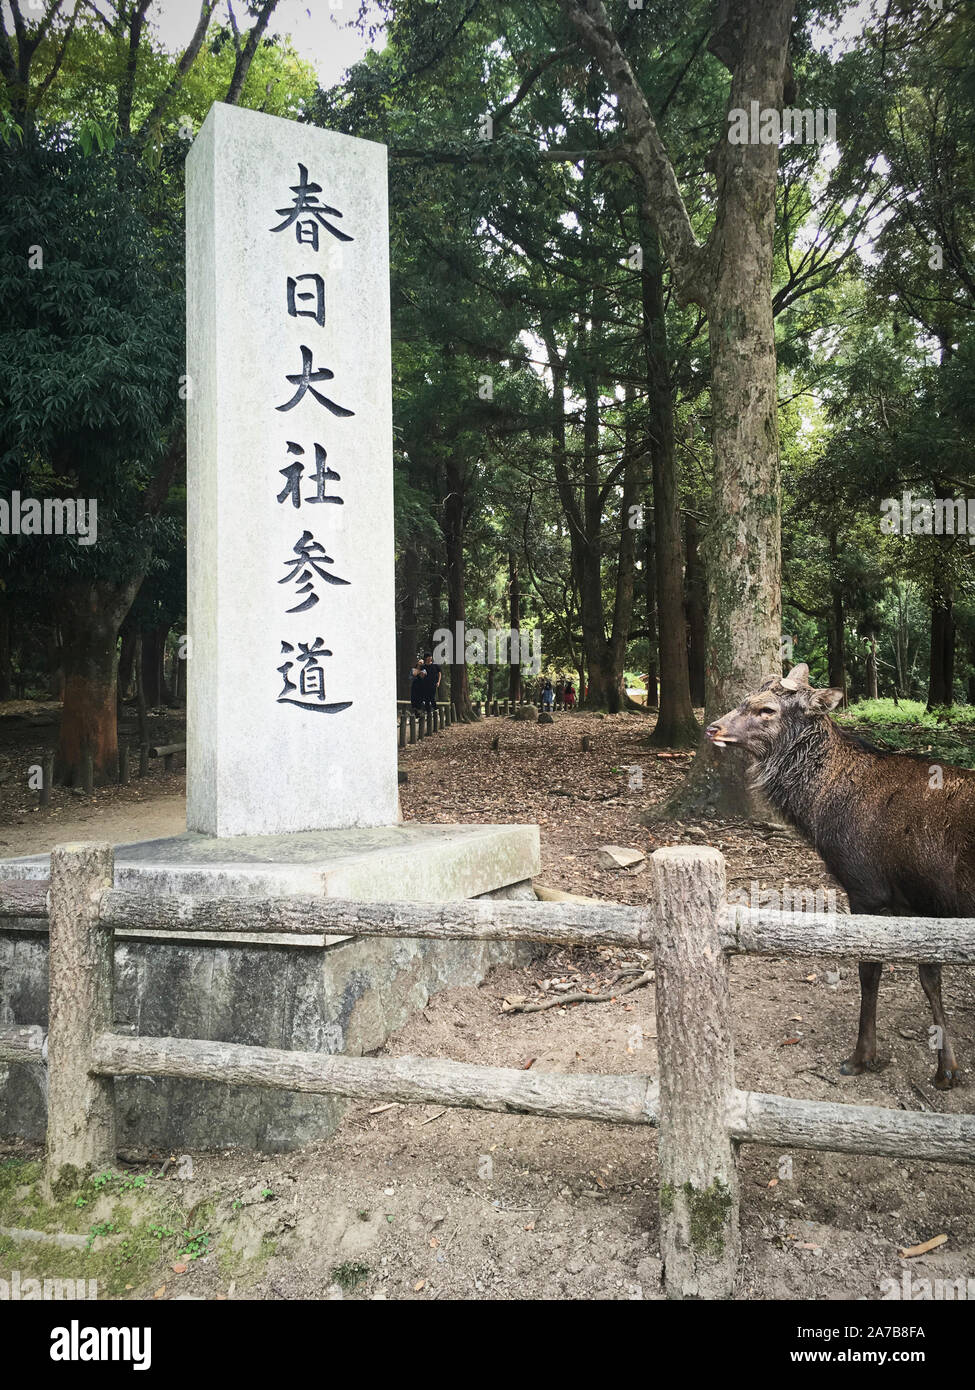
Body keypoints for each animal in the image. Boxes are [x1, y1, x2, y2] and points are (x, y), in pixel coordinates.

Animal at [705, 663, 974, 1090]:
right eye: (744, 699)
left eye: (766, 709)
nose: (712, 727)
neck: (819, 813)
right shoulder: (920, 901)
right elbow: (929, 974)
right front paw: (946, 1068)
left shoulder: (867, 888)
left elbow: (869, 969)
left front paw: (861, 1056)